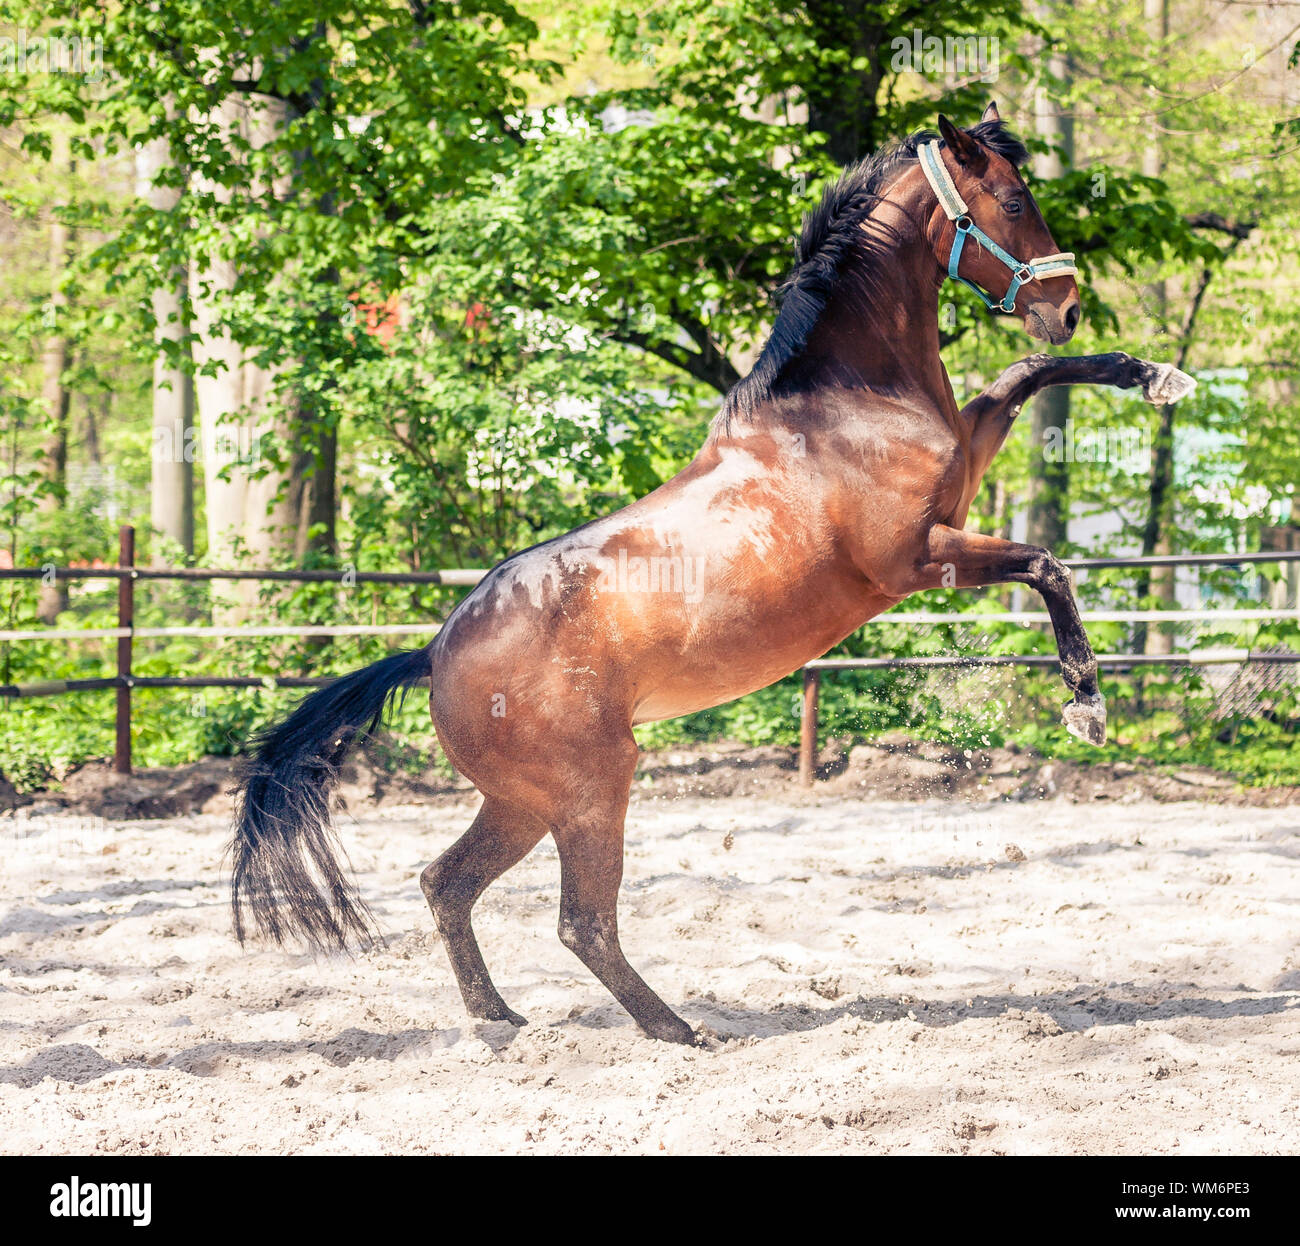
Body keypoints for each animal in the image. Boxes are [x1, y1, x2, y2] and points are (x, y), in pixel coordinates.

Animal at [230, 103, 1194, 1045]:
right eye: (1016, 199)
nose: (1068, 307)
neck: (845, 405)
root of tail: (433, 653)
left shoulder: (965, 471)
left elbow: (1026, 373)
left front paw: (1154, 375)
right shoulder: (917, 558)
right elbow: (1047, 564)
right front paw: (1086, 702)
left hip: (523, 804)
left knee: (447, 884)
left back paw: (502, 1022)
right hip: (589, 790)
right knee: (580, 922)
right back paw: (679, 1032)